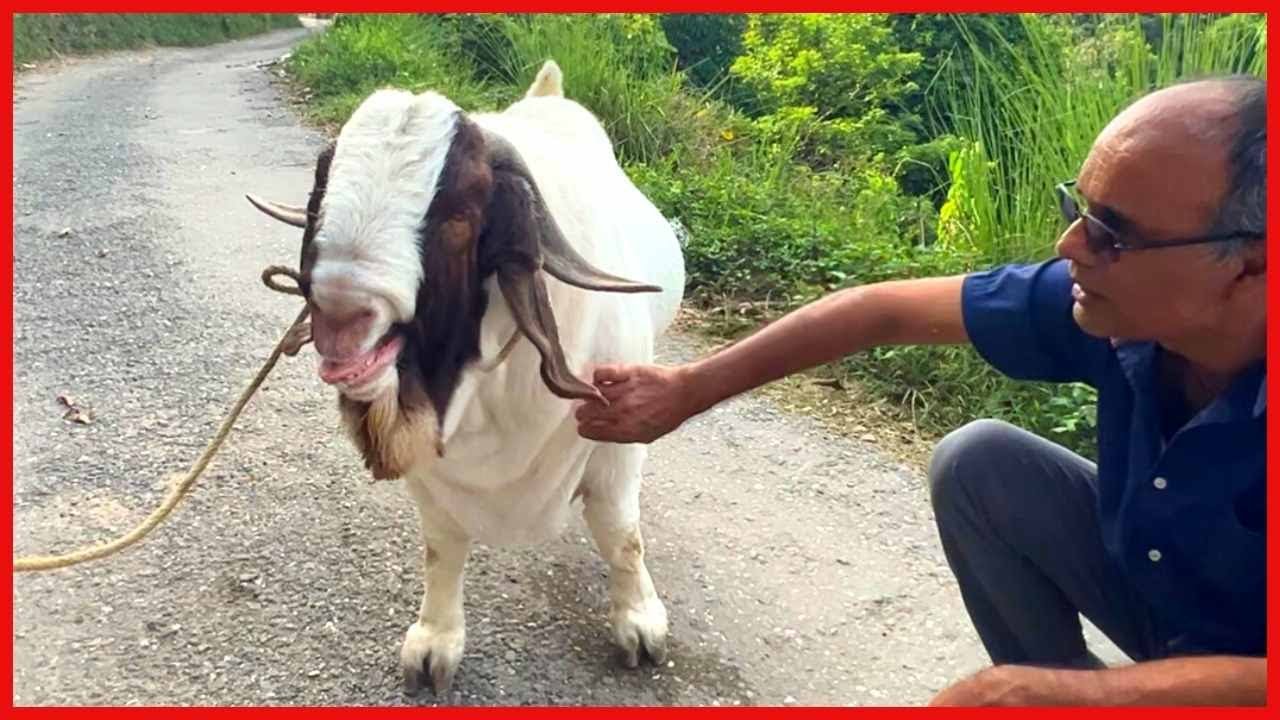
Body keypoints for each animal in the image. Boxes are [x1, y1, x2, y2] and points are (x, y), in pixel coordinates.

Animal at [247, 60, 685, 695]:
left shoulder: (615, 432)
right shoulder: (434, 470)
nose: (342, 315)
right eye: (319, 191)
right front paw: (435, 643)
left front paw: (638, 623)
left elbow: (617, 528)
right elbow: (443, 543)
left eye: (457, 214)